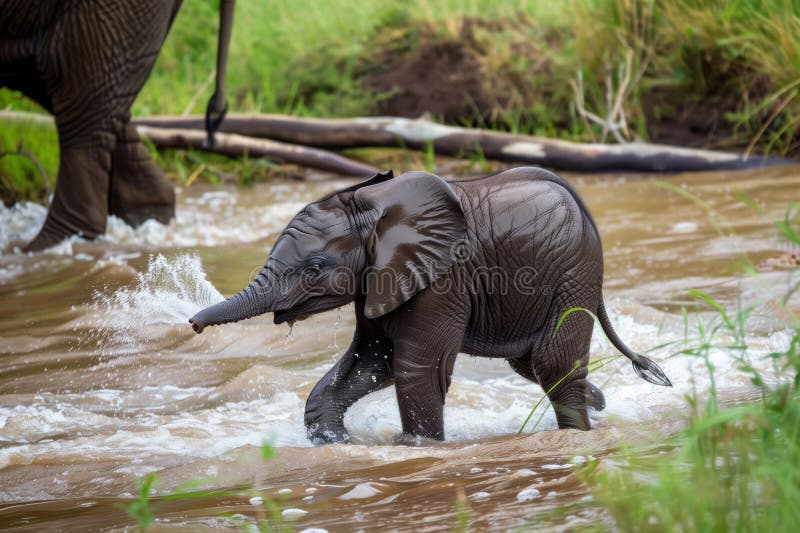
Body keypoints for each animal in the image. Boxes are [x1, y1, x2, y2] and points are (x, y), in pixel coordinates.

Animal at [189, 167, 672, 443]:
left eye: (314, 268)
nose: (192, 324)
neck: (375, 208)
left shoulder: (443, 278)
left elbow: (416, 367)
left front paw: (416, 449)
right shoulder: (382, 278)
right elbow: (372, 359)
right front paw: (335, 442)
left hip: (575, 271)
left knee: (554, 363)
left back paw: (579, 431)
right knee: (532, 363)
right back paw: (598, 403)